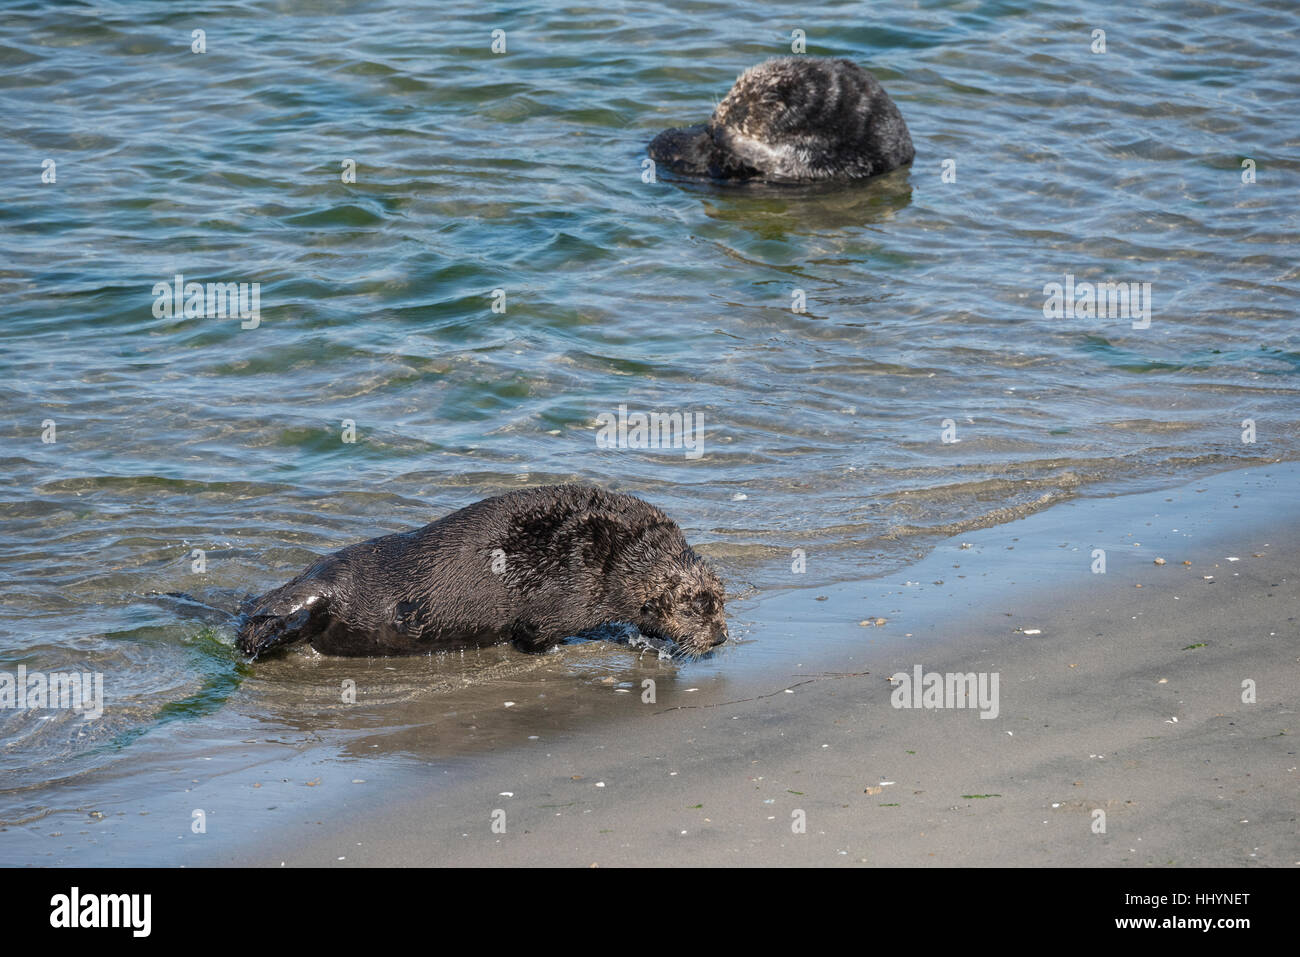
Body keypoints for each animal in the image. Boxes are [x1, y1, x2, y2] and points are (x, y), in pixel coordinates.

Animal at [235, 485, 728, 660]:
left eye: (721, 604)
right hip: (331, 587)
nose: (721, 635)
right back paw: (257, 641)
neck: (619, 555)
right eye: (694, 609)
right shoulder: (566, 599)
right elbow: (534, 634)